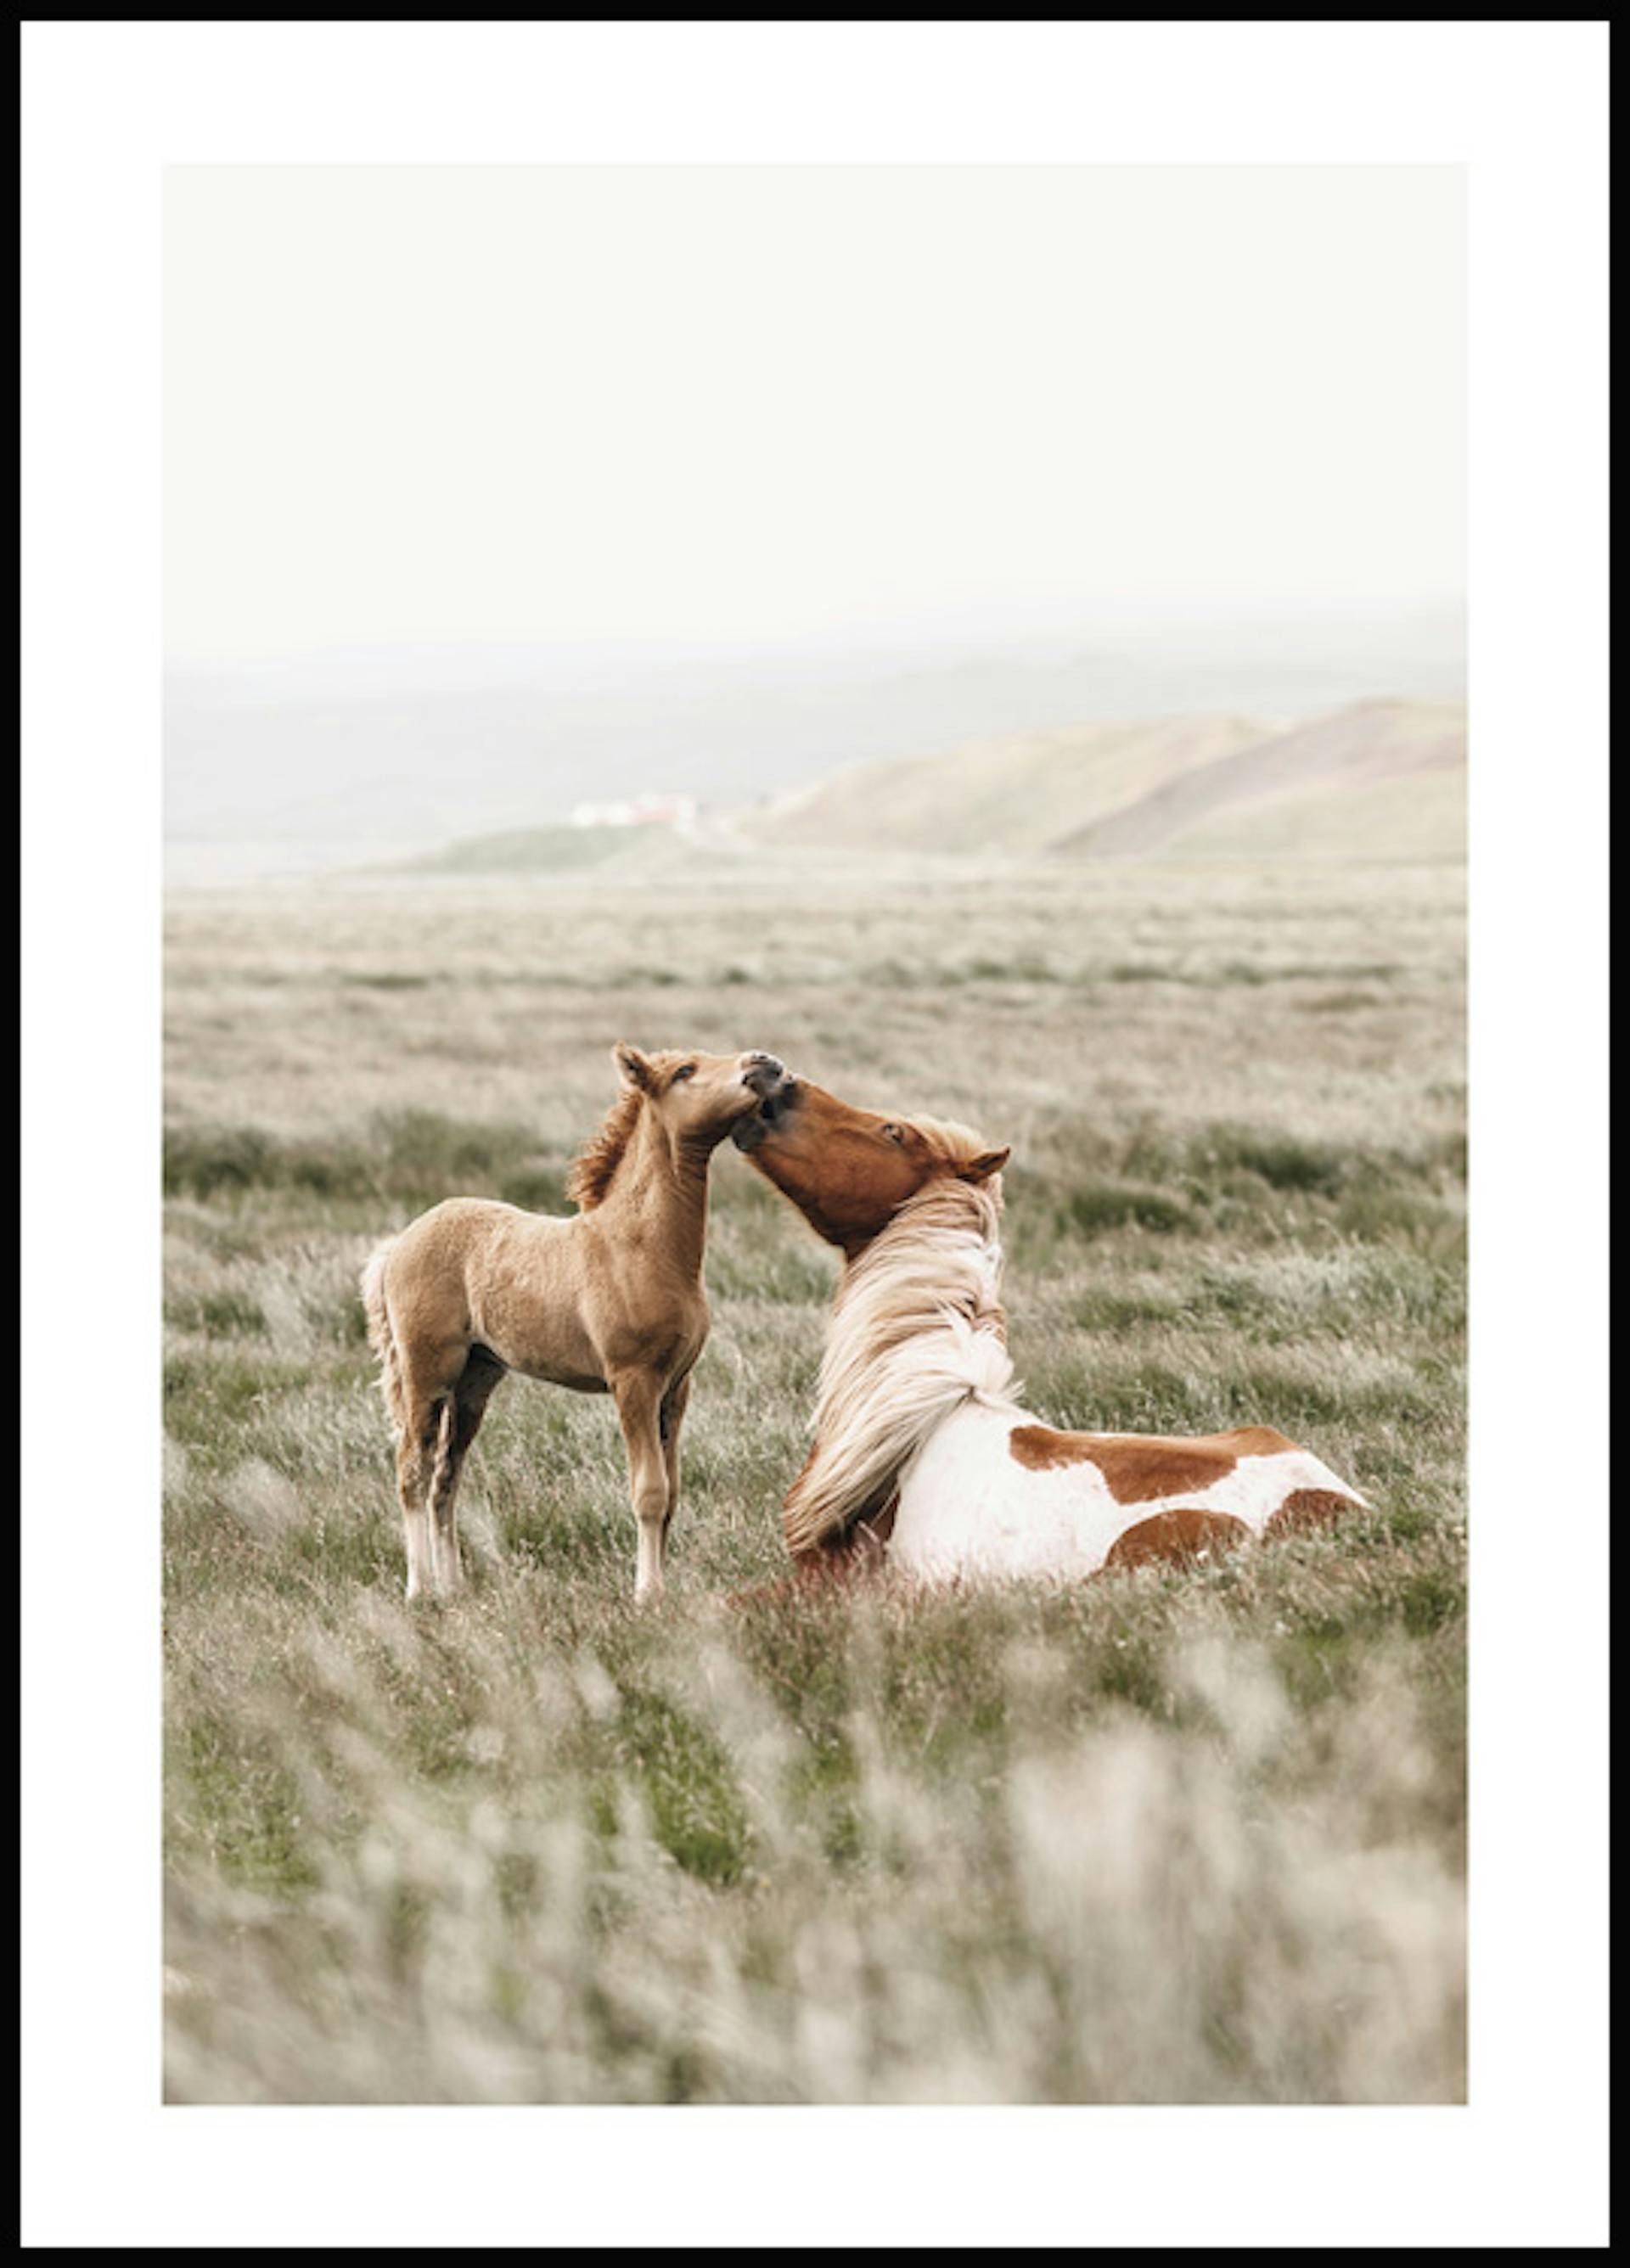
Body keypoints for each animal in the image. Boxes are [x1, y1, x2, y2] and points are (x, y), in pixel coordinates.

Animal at [362, 1045, 785, 1603]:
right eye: (684, 1071)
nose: (765, 1064)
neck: (643, 1248)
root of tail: (399, 1244)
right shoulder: (633, 1381)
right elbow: (649, 1491)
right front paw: (647, 1594)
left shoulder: (677, 1386)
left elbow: (673, 1493)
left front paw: (664, 1586)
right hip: (427, 1372)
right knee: (412, 1468)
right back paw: (421, 1589)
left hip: (476, 1380)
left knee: (445, 1478)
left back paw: (454, 1588)